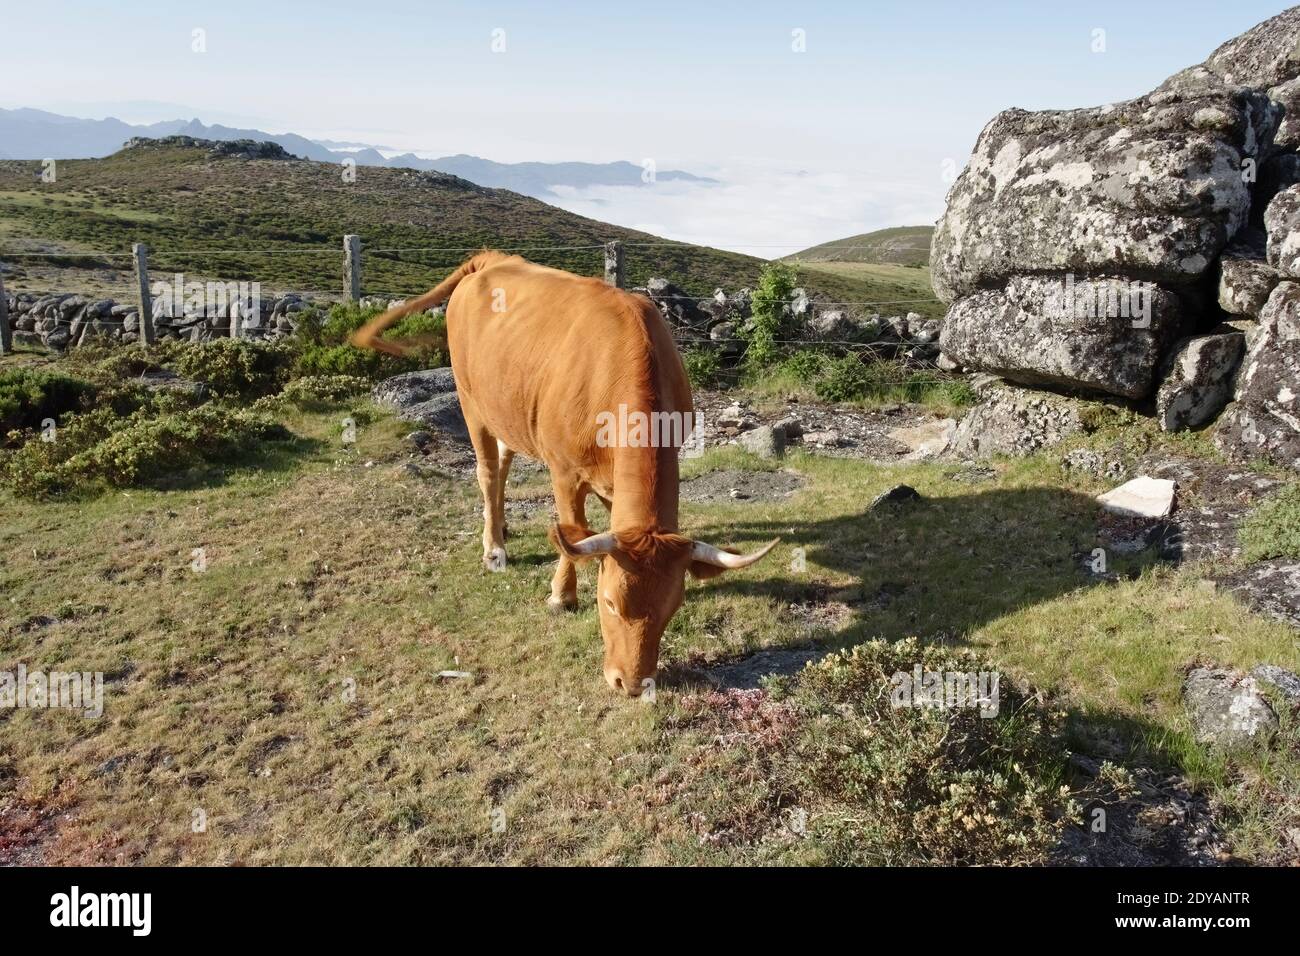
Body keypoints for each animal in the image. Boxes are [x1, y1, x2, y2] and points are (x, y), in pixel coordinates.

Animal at [352, 251, 777, 696]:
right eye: (608, 602)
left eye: (672, 606)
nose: (631, 683)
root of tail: (492, 258)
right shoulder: (564, 471)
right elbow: (572, 530)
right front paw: (562, 595)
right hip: (470, 401)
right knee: (487, 470)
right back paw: (493, 548)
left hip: (509, 408)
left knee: (504, 461)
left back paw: (502, 527)